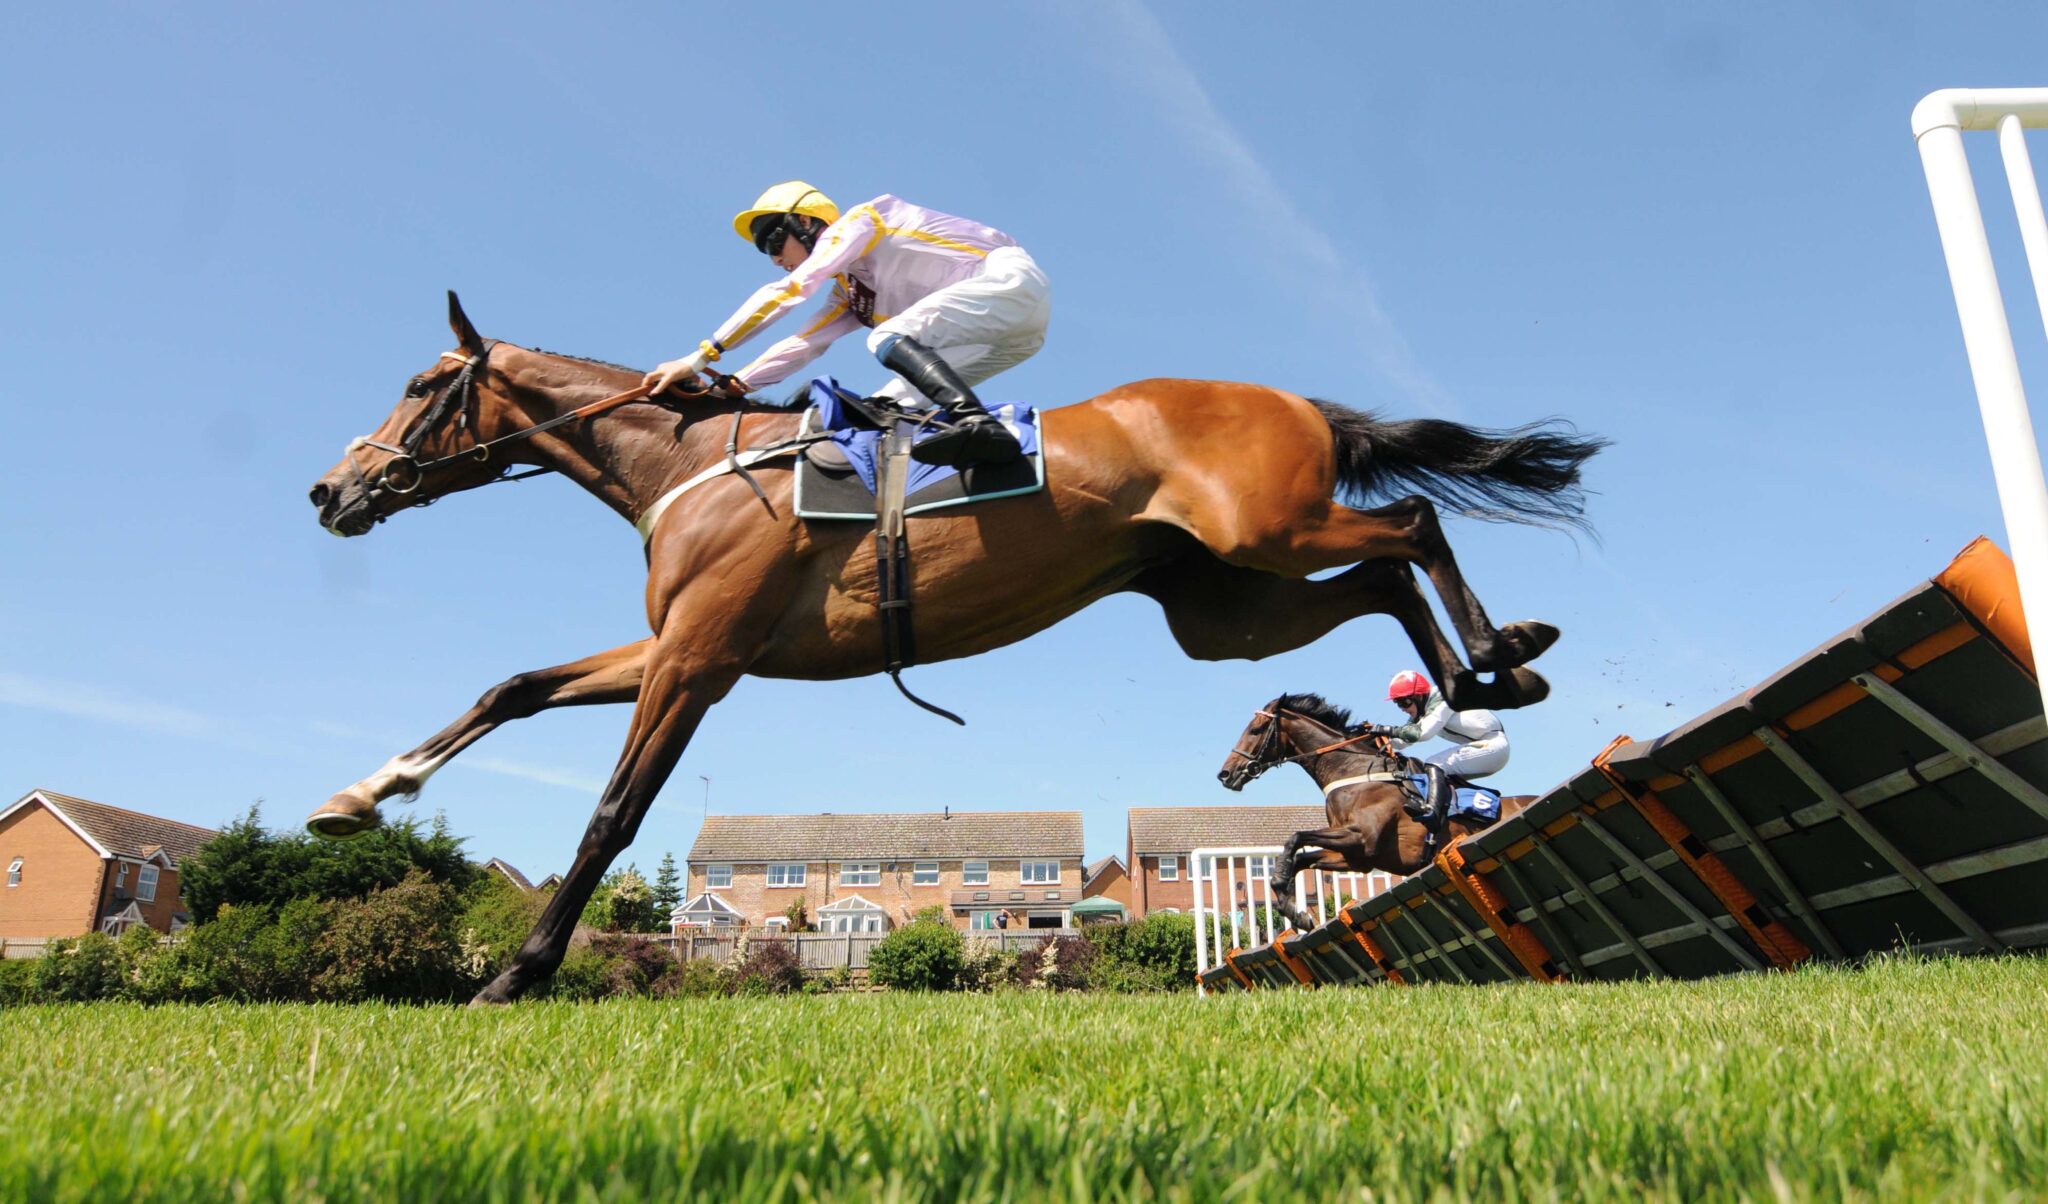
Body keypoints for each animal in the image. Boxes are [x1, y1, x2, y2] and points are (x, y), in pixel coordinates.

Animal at [1216, 692, 1536, 932]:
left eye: (1255, 729)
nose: (1225, 774)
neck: (1354, 771)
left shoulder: (1361, 839)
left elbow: (1294, 838)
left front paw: (1288, 894)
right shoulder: (1356, 857)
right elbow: (1301, 858)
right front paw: (1296, 912)